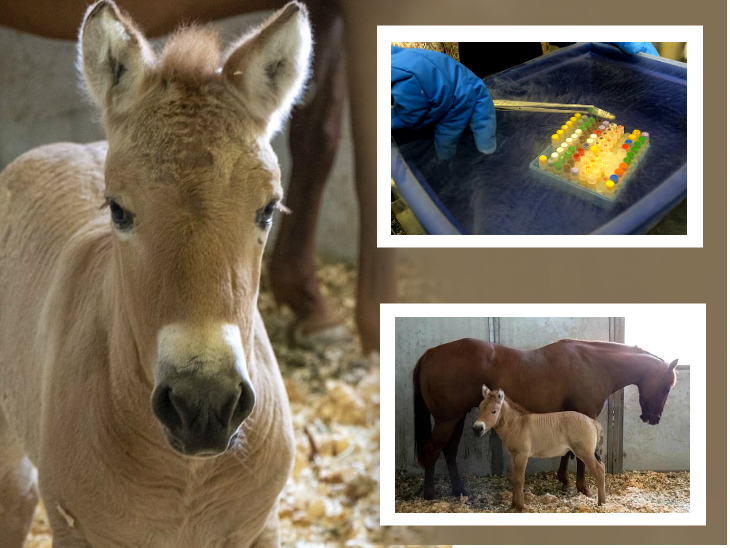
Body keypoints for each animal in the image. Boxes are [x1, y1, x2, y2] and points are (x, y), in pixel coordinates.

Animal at [0, 1, 310, 546]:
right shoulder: (76, 531)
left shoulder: (261, 527)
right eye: (118, 210)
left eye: (269, 209)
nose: (203, 405)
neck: (186, 478)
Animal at [473, 386, 606, 512]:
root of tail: (592, 422)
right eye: (480, 407)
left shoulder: (522, 456)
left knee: (599, 471)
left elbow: (519, 480)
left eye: (494, 411)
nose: (477, 429)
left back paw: (602, 504)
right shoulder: (513, 456)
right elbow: (513, 478)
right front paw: (513, 505)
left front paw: (520, 507)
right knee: (602, 467)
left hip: (585, 453)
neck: (517, 424)